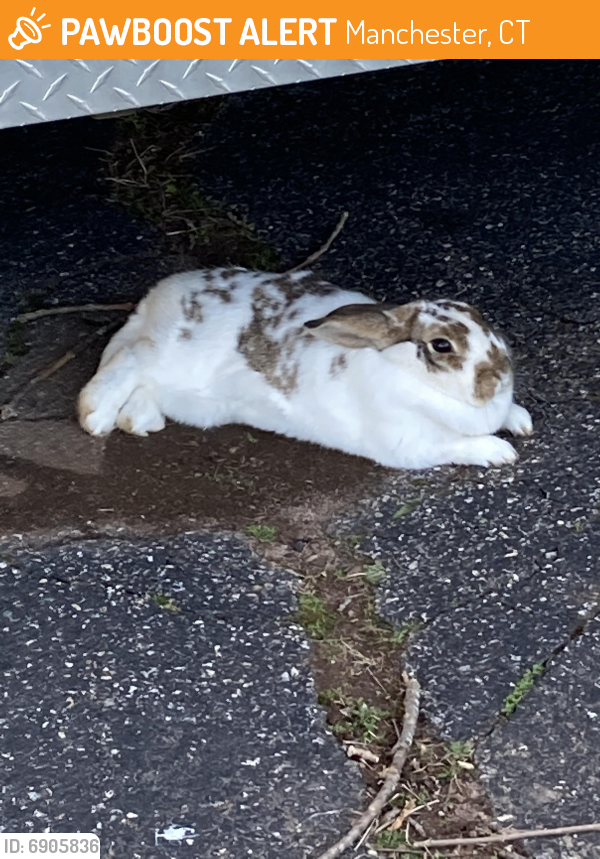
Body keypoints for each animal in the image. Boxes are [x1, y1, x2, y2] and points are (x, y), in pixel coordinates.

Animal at [78, 268, 533, 470]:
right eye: (442, 345)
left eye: (480, 316)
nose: (498, 376)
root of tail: (157, 298)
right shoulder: (412, 446)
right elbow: (461, 445)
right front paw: (500, 452)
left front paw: (521, 422)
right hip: (170, 356)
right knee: (129, 362)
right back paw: (95, 417)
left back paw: (140, 421)